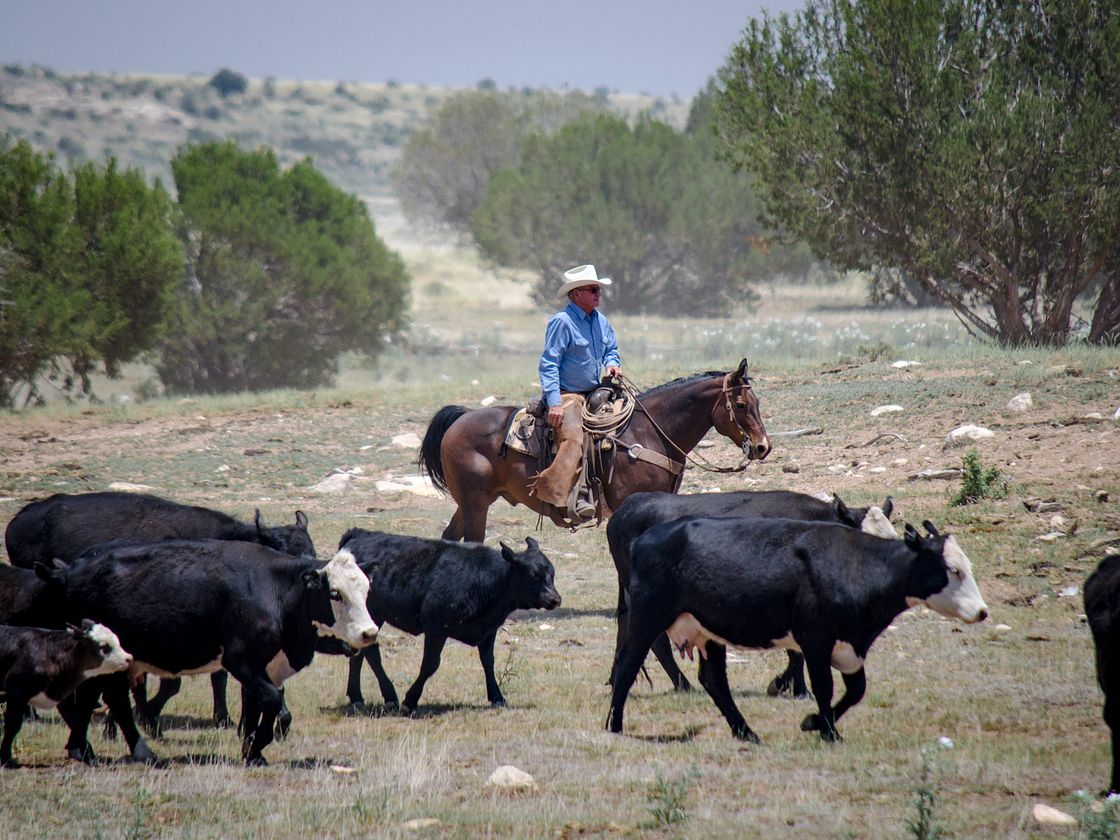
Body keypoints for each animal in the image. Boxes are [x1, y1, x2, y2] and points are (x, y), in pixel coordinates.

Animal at [1, 621, 132, 768]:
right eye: (103, 646)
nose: (128, 658)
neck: (50, 653)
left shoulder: (63, 698)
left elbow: (78, 725)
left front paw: (90, 758)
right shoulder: (17, 692)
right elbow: (12, 726)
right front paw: (5, 759)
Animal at [4, 491, 317, 731]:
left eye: (310, 548)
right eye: (281, 548)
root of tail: (20, 519)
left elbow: (219, 676)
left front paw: (225, 718)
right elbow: (175, 683)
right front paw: (148, 715)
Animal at [35, 539, 378, 766]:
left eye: (366, 589)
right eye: (335, 593)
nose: (369, 633)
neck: (277, 592)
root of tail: (72, 570)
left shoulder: (263, 667)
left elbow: (254, 708)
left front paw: (251, 751)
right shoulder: (240, 661)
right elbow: (271, 702)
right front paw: (257, 747)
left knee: (96, 700)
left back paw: (83, 750)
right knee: (112, 701)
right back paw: (139, 752)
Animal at [338, 529, 561, 714]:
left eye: (552, 572)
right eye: (534, 575)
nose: (555, 599)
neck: (487, 580)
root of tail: (359, 534)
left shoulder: (488, 630)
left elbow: (488, 661)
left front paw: (497, 697)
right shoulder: (436, 628)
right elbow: (430, 664)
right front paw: (410, 700)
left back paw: (357, 697)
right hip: (373, 612)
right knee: (371, 652)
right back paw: (390, 696)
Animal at [606, 516, 988, 743]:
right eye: (953, 570)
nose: (982, 612)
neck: (854, 565)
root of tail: (646, 537)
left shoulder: (849, 647)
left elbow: (856, 691)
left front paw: (815, 723)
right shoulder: (815, 641)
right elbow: (824, 687)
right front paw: (829, 733)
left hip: (708, 633)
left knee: (714, 681)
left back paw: (746, 733)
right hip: (647, 618)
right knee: (627, 666)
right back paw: (615, 727)